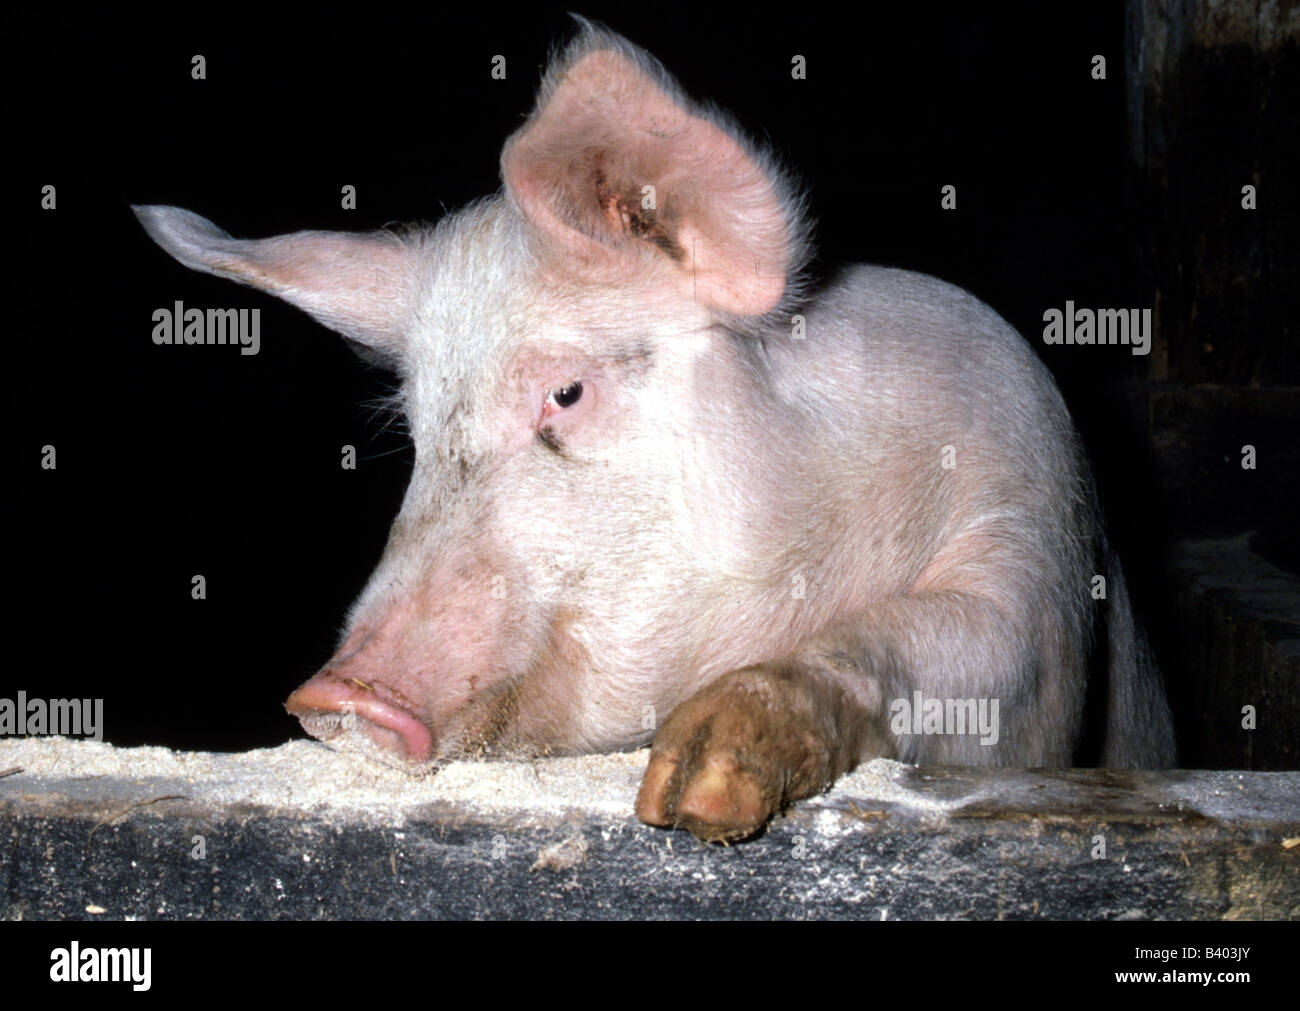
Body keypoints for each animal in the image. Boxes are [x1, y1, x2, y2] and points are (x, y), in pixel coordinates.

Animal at [134, 21, 1175, 842]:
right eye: (420, 429)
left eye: (565, 393)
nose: (334, 697)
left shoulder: (1035, 536)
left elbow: (977, 661)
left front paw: (692, 789)